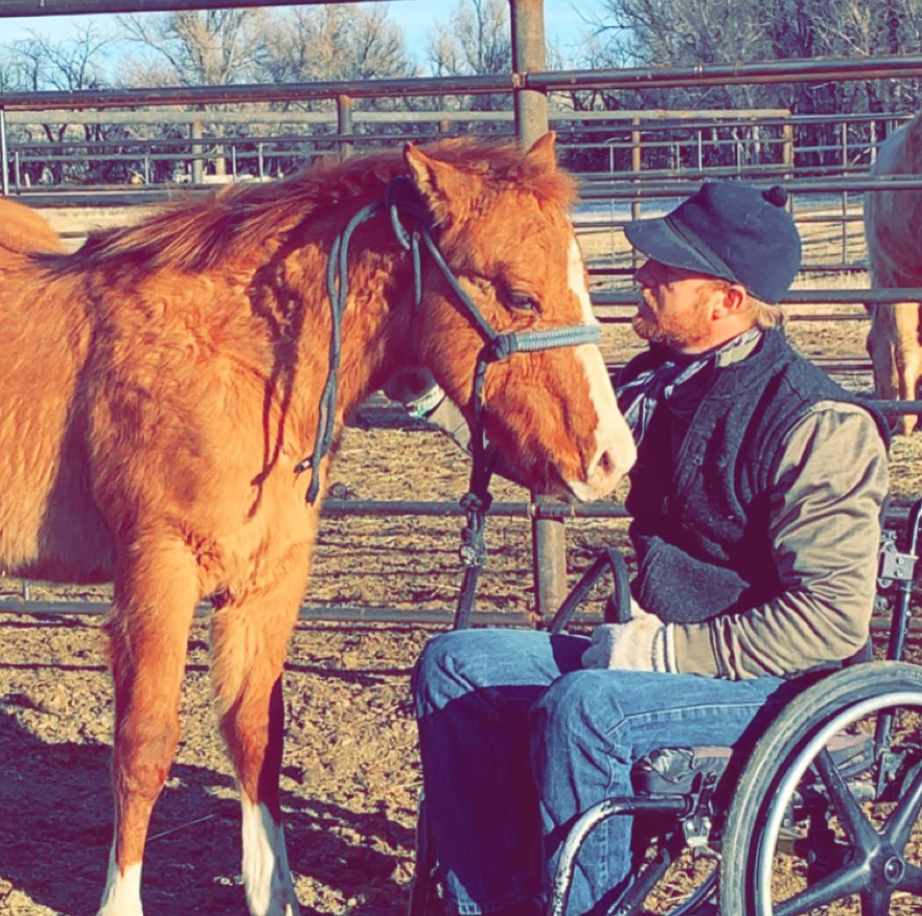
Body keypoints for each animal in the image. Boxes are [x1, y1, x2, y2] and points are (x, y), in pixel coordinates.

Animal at [0, 134, 636, 916]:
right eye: (520, 295)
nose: (612, 457)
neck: (238, 363)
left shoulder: (269, 578)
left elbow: (257, 735)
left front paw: (274, 889)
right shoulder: (158, 571)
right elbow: (145, 745)